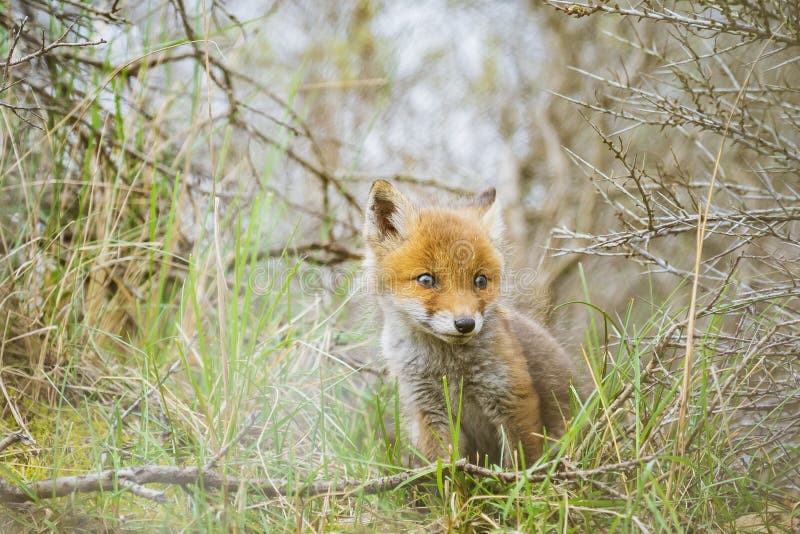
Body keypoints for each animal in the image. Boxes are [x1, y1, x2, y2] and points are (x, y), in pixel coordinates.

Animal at [363, 180, 582, 467]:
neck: (447, 365)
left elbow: (521, 463)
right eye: (426, 280)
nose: (465, 323)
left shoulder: (512, 396)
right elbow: (443, 467)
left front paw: (520, 480)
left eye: (480, 280)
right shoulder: (428, 409)